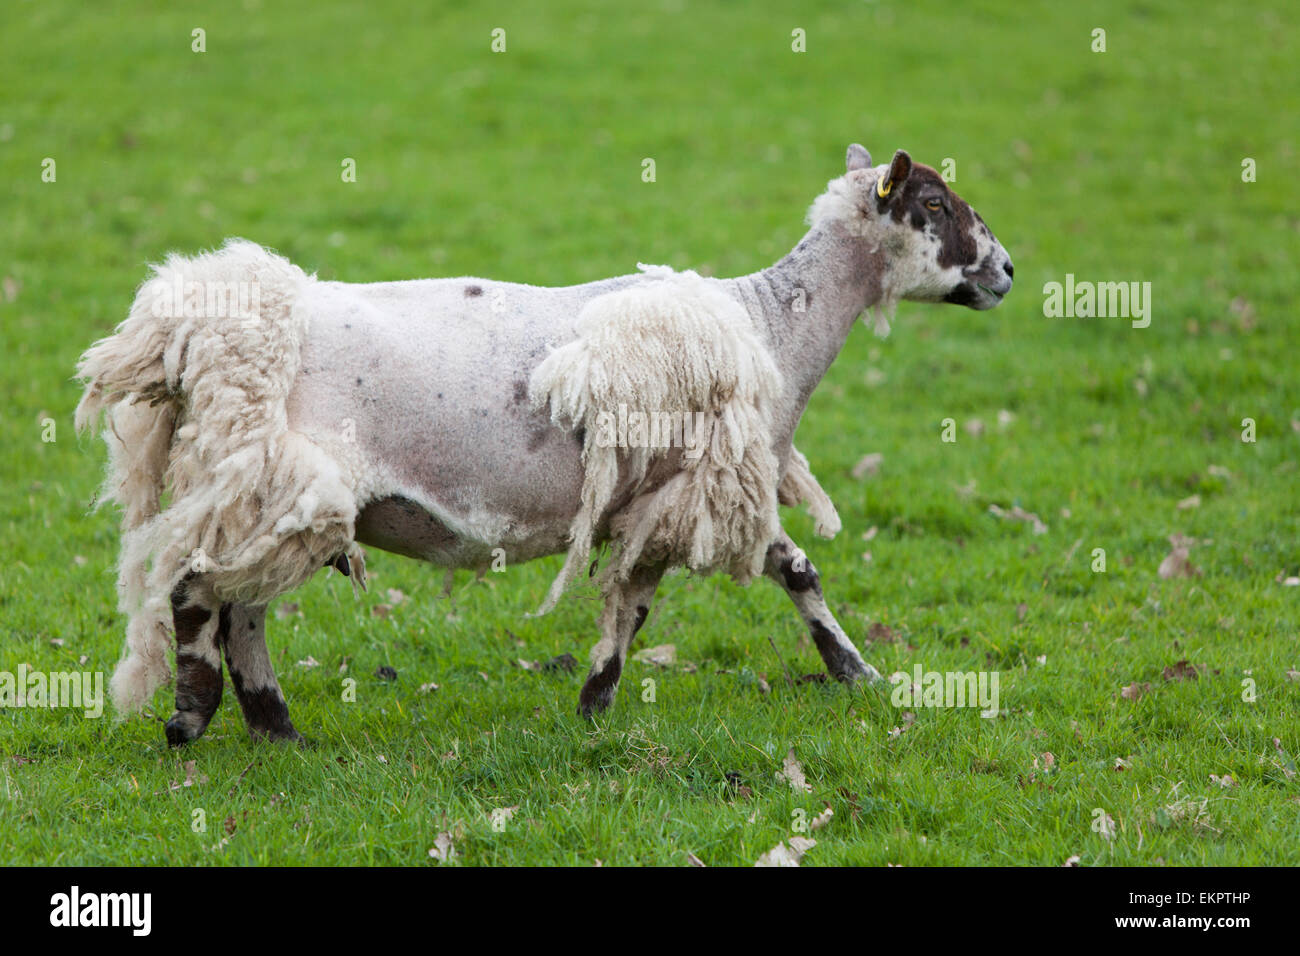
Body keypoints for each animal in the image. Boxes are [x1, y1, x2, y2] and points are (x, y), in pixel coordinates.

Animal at [76, 143, 1013, 744]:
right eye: (934, 206)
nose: (1006, 272)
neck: (775, 323)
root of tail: (209, 321)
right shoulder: (692, 488)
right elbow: (699, 588)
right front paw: (602, 700)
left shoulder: (675, 492)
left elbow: (743, 579)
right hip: (284, 480)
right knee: (202, 591)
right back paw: (192, 714)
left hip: (275, 488)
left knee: (240, 604)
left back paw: (275, 730)